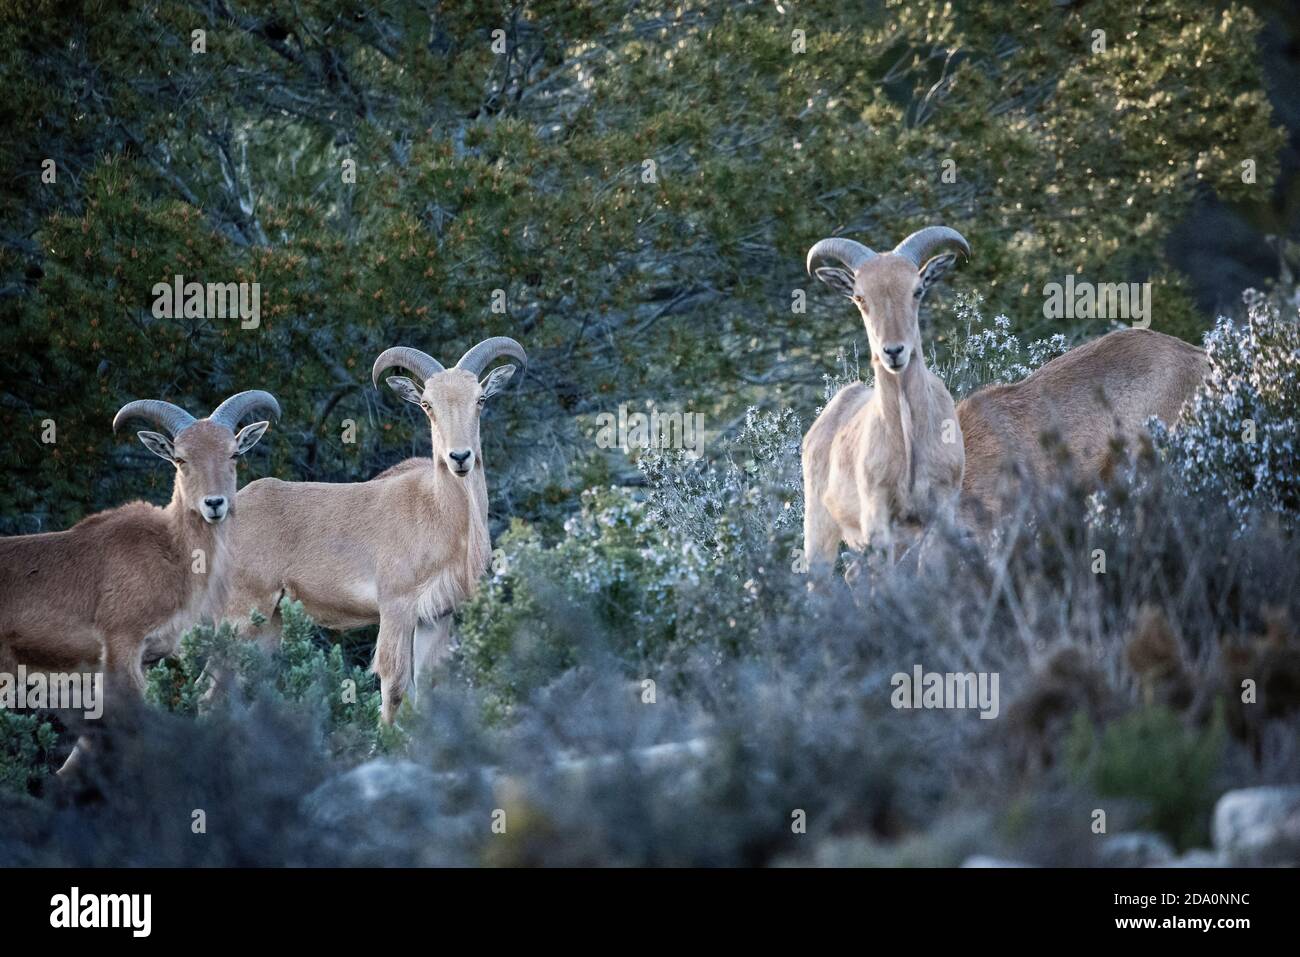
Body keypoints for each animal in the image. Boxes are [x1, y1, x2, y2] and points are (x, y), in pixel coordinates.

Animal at [221, 337, 526, 724]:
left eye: (480, 399)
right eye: (427, 404)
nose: (459, 457)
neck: (440, 513)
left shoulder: (436, 617)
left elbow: (427, 689)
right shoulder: (395, 607)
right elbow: (394, 686)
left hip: (269, 621)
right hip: (243, 613)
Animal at [802, 226, 972, 571]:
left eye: (917, 290)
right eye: (860, 297)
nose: (893, 352)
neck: (908, 443)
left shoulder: (941, 510)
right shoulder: (878, 517)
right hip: (819, 528)